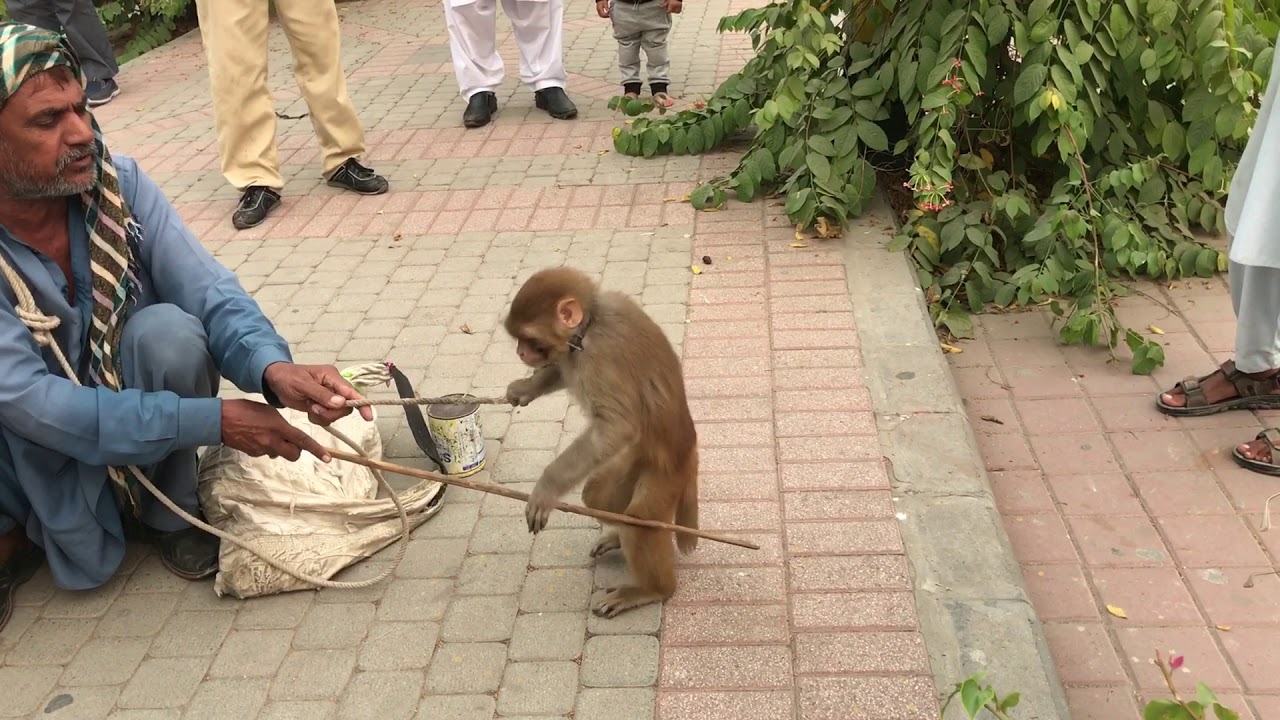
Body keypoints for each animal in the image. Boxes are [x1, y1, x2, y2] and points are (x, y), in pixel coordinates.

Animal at [502, 266, 699, 618]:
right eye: (520, 341)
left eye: (530, 340)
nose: (520, 352)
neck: (590, 324)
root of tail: (690, 449)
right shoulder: (573, 352)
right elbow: (561, 369)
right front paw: (526, 388)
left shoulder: (601, 356)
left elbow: (616, 427)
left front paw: (546, 488)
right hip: (632, 460)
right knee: (598, 496)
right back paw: (618, 536)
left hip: (666, 474)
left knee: (641, 521)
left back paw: (652, 590)